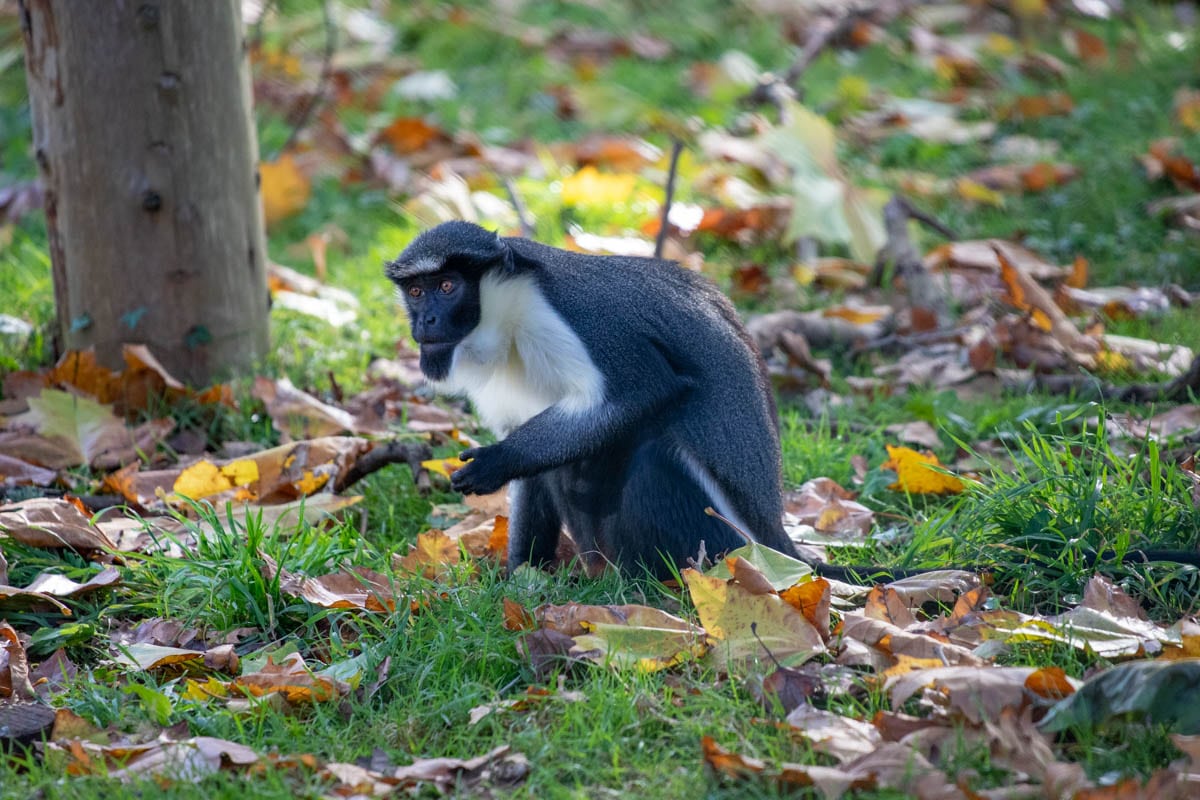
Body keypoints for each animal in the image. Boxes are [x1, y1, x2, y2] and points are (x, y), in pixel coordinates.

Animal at [385, 220, 801, 579]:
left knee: (653, 454)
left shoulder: (576, 319)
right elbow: (529, 460)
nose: (425, 321)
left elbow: (643, 387)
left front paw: (497, 460)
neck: (510, 319)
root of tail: (775, 543)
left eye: (447, 286)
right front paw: (519, 578)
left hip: (730, 543)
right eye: (416, 292)